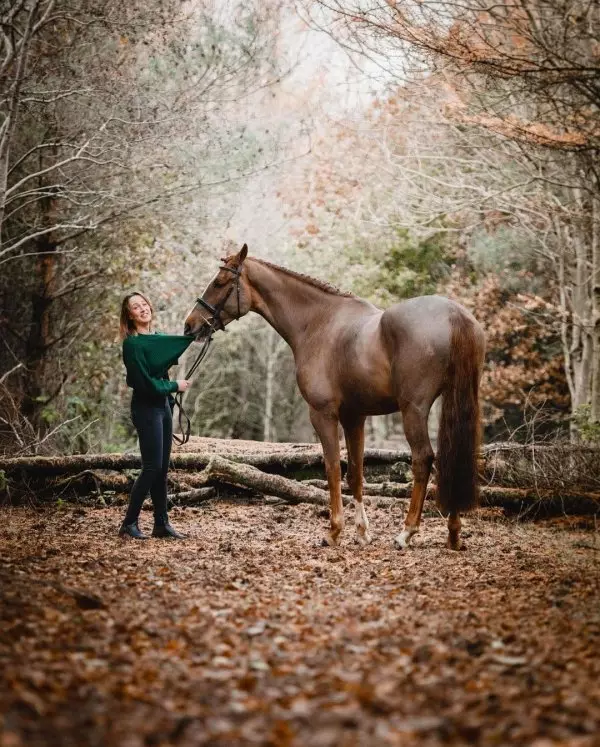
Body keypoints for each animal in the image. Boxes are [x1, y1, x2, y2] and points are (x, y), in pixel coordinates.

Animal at [185, 245, 486, 548]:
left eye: (220, 282)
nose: (190, 325)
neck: (319, 323)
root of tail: (455, 315)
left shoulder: (323, 413)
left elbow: (332, 469)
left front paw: (334, 531)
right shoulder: (355, 416)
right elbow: (355, 473)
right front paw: (362, 532)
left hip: (414, 410)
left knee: (423, 459)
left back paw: (406, 532)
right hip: (457, 402)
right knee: (454, 459)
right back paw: (454, 533)